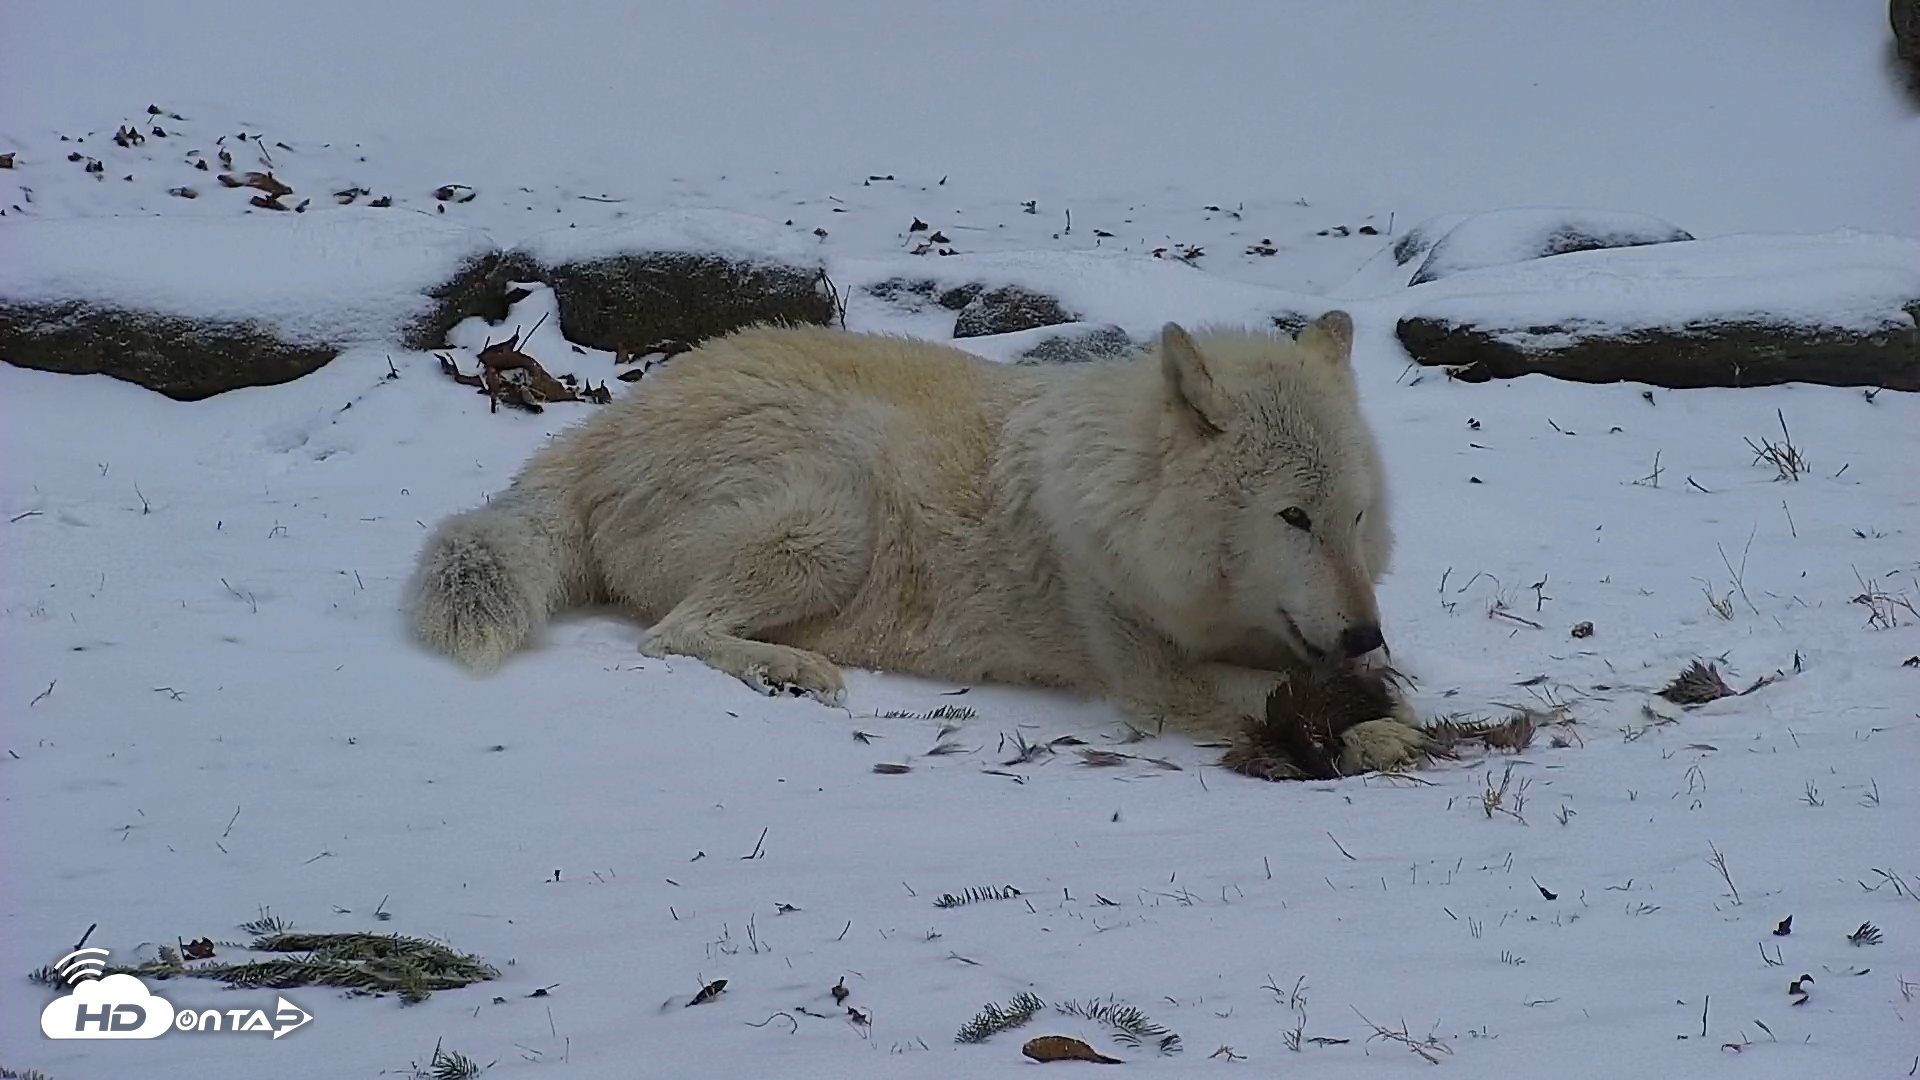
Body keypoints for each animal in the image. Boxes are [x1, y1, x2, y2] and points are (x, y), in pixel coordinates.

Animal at [406, 314, 1427, 773]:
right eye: (1292, 518)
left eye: (1355, 517)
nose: (1364, 633)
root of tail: (598, 431)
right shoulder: (1151, 676)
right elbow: (1273, 700)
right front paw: (1374, 728)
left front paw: (1375, 697)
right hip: (837, 514)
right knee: (671, 635)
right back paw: (790, 671)